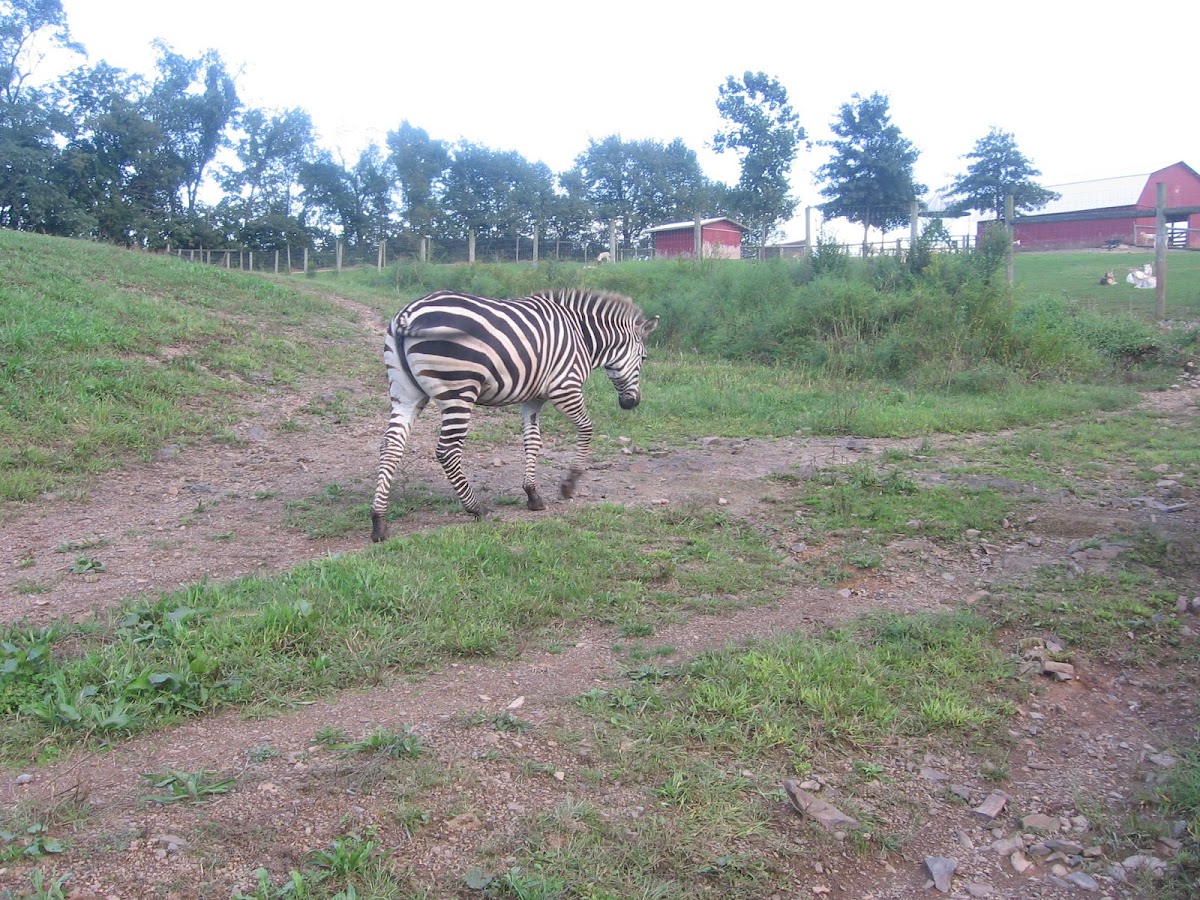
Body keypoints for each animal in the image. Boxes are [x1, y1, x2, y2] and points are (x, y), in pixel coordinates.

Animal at [370, 288, 659, 542]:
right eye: (644, 358)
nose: (631, 403)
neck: (582, 337)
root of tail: (408, 314)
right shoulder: (565, 388)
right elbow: (586, 428)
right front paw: (569, 484)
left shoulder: (533, 398)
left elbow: (532, 442)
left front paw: (532, 495)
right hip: (459, 390)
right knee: (447, 451)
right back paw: (477, 508)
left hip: (405, 392)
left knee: (391, 446)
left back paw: (379, 522)